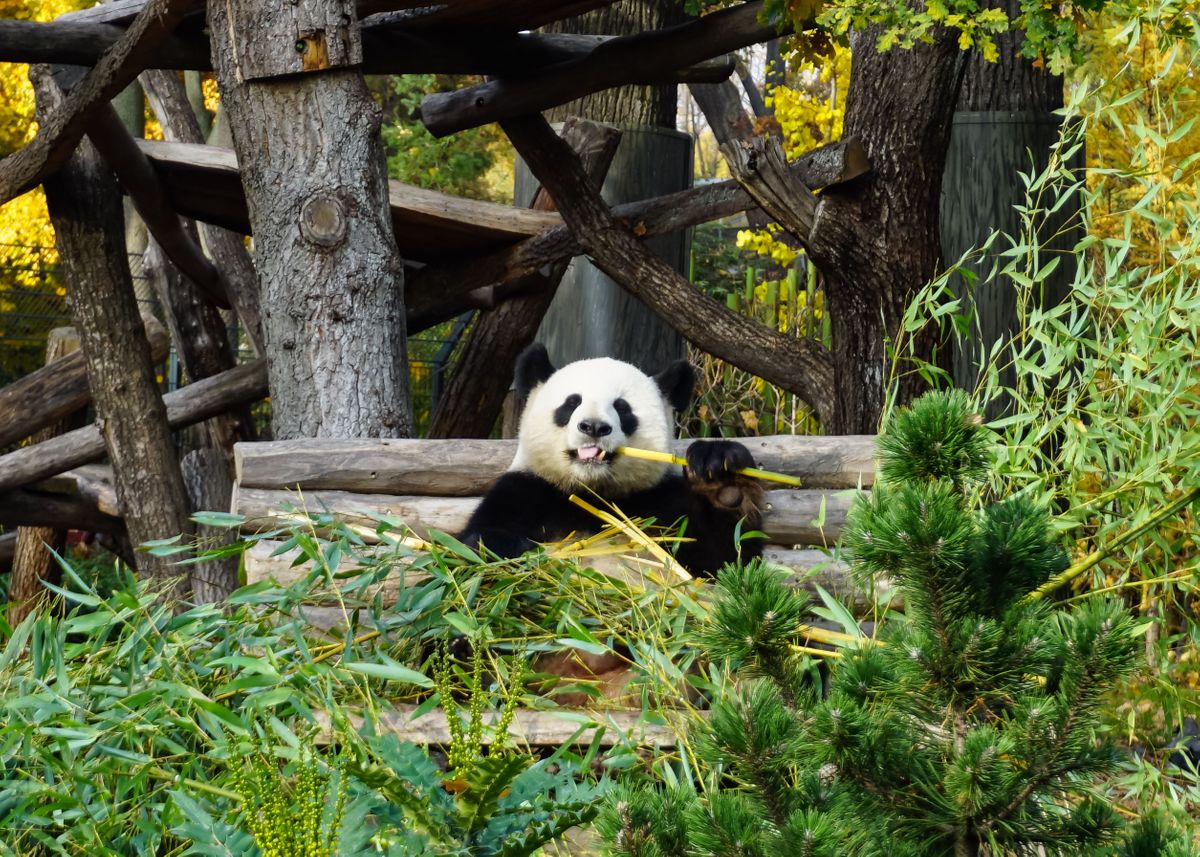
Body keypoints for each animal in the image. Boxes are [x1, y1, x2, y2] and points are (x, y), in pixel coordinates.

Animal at [458, 343, 765, 576]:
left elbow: (724, 560)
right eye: (572, 402)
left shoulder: (660, 503)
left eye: (622, 408)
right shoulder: (527, 490)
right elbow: (470, 546)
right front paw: (504, 546)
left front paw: (723, 479)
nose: (594, 427)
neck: (592, 493)